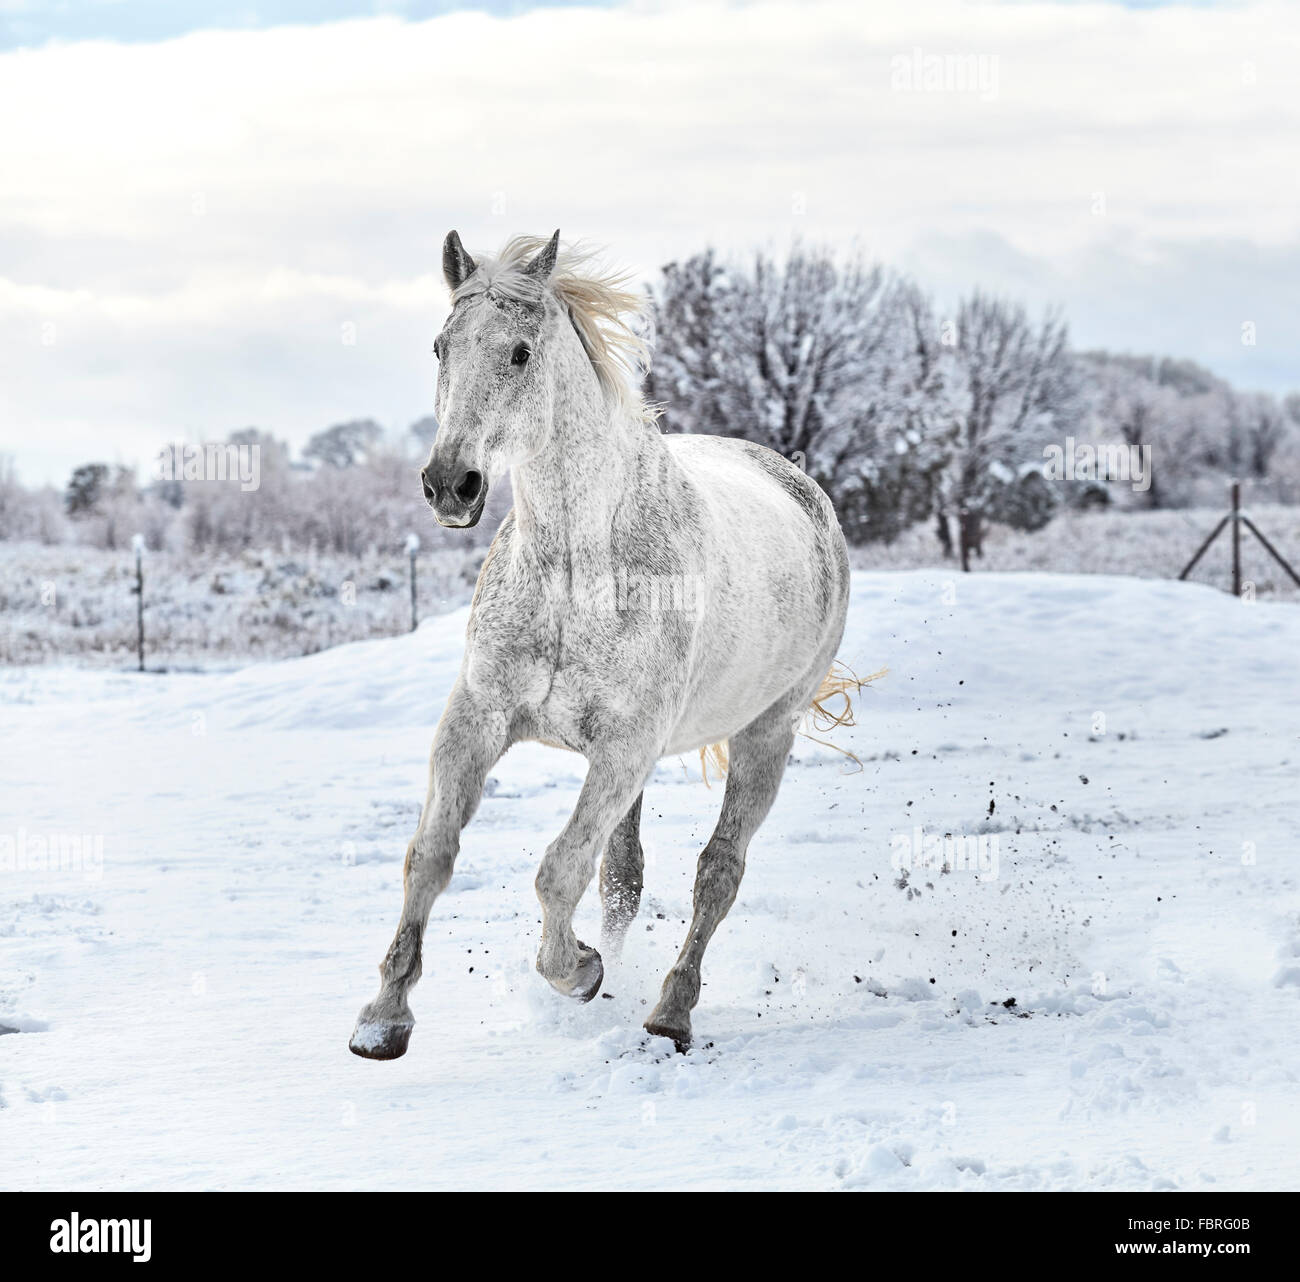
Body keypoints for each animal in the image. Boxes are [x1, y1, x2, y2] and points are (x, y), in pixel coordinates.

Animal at [349, 230, 851, 1059]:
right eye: (440, 346)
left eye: (519, 352)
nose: (451, 484)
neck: (576, 569)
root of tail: (805, 491)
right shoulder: (478, 721)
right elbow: (432, 855)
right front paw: (384, 1016)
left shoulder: (625, 746)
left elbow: (557, 869)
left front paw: (577, 971)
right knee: (624, 875)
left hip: (764, 735)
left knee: (718, 872)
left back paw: (669, 1012)